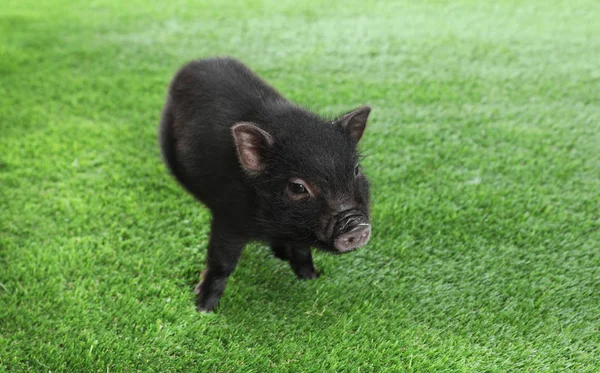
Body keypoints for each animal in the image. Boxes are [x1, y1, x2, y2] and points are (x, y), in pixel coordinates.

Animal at [159, 56, 376, 310]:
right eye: (298, 187)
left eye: (356, 170)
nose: (356, 225)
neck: (275, 226)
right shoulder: (227, 218)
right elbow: (222, 264)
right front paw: (204, 308)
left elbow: (302, 251)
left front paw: (311, 278)